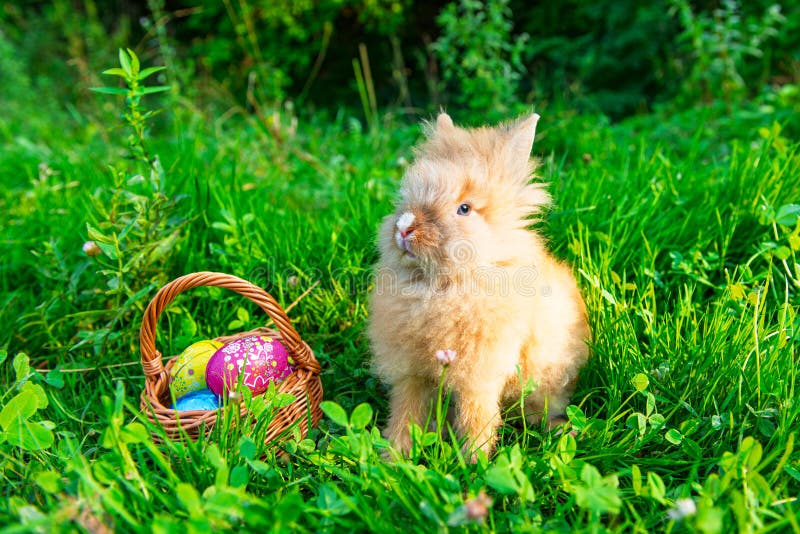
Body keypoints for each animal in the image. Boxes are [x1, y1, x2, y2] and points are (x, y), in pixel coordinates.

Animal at [367, 112, 590, 459]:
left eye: (464, 208)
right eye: (406, 196)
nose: (404, 229)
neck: (440, 285)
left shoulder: (480, 376)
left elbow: (477, 417)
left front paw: (475, 460)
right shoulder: (411, 375)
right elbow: (406, 412)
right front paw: (393, 456)